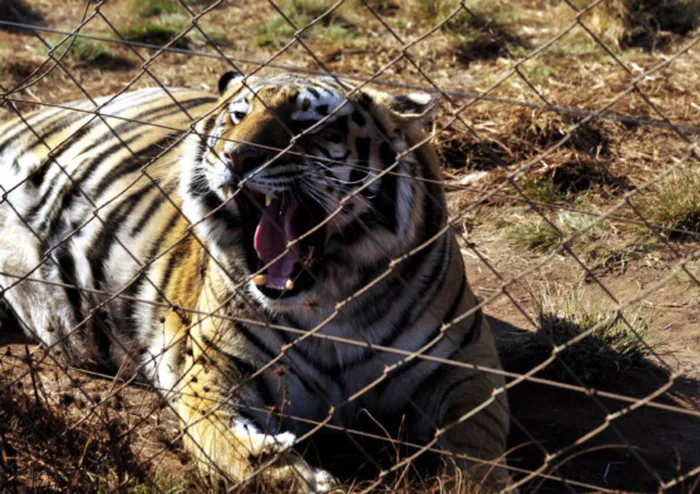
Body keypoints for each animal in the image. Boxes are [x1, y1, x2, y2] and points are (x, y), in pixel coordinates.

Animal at [0, 72, 510, 492]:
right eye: (238, 117)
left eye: (311, 127)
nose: (237, 157)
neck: (331, 301)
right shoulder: (213, 370)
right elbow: (239, 454)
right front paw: (300, 476)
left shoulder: (465, 364)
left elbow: (477, 443)